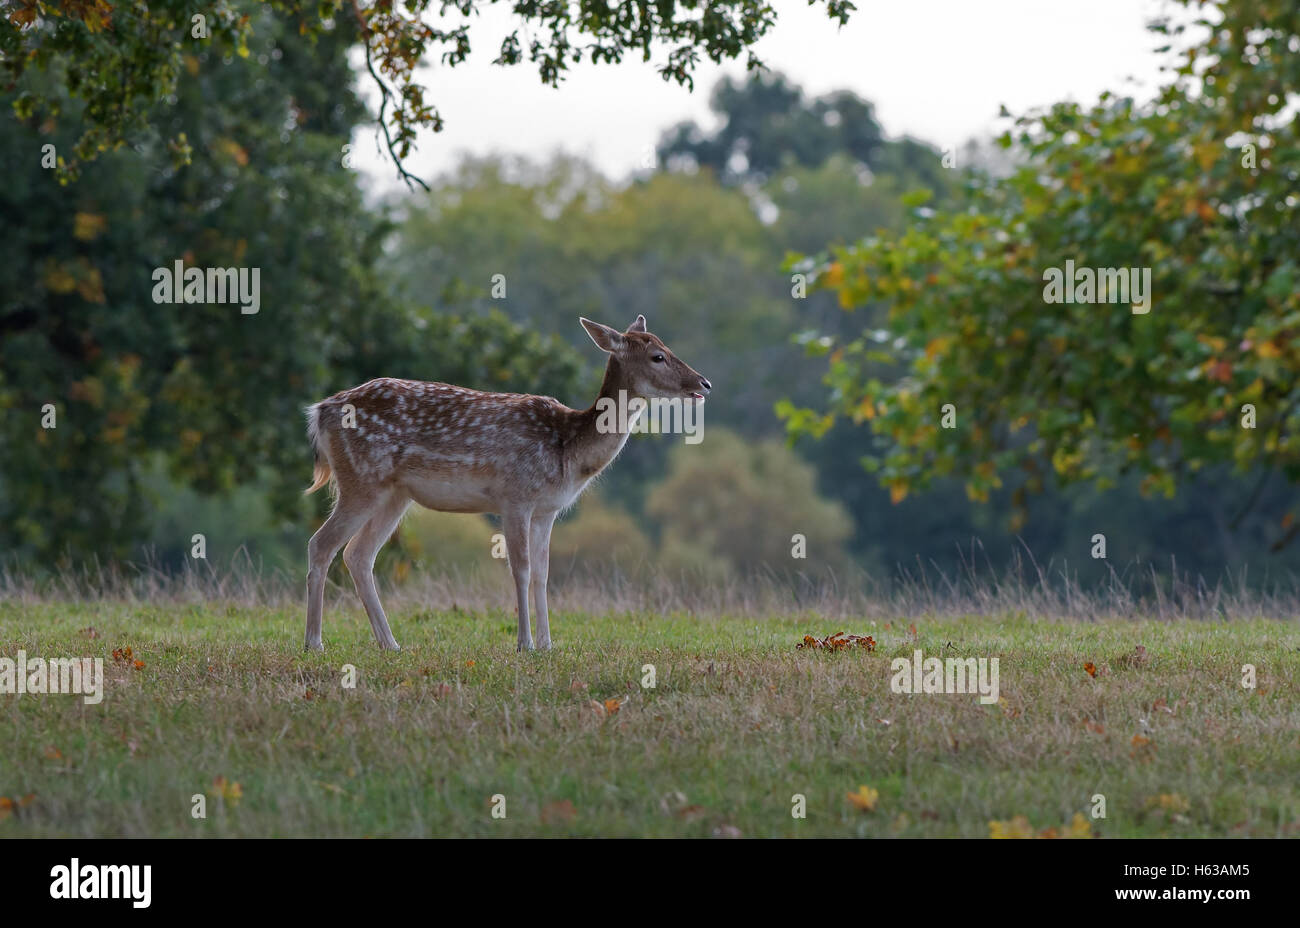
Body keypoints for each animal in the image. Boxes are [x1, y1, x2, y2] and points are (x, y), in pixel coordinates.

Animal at [302, 315, 711, 653]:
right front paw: (524, 643)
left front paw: (547, 644)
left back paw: (390, 644)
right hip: (361, 480)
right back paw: (315, 643)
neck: (567, 452)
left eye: (667, 347)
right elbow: (522, 568)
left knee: (358, 554)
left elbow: (544, 573)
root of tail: (319, 412)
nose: (704, 383)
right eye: (657, 356)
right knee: (321, 544)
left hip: (394, 494)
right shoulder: (515, 496)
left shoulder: (547, 510)